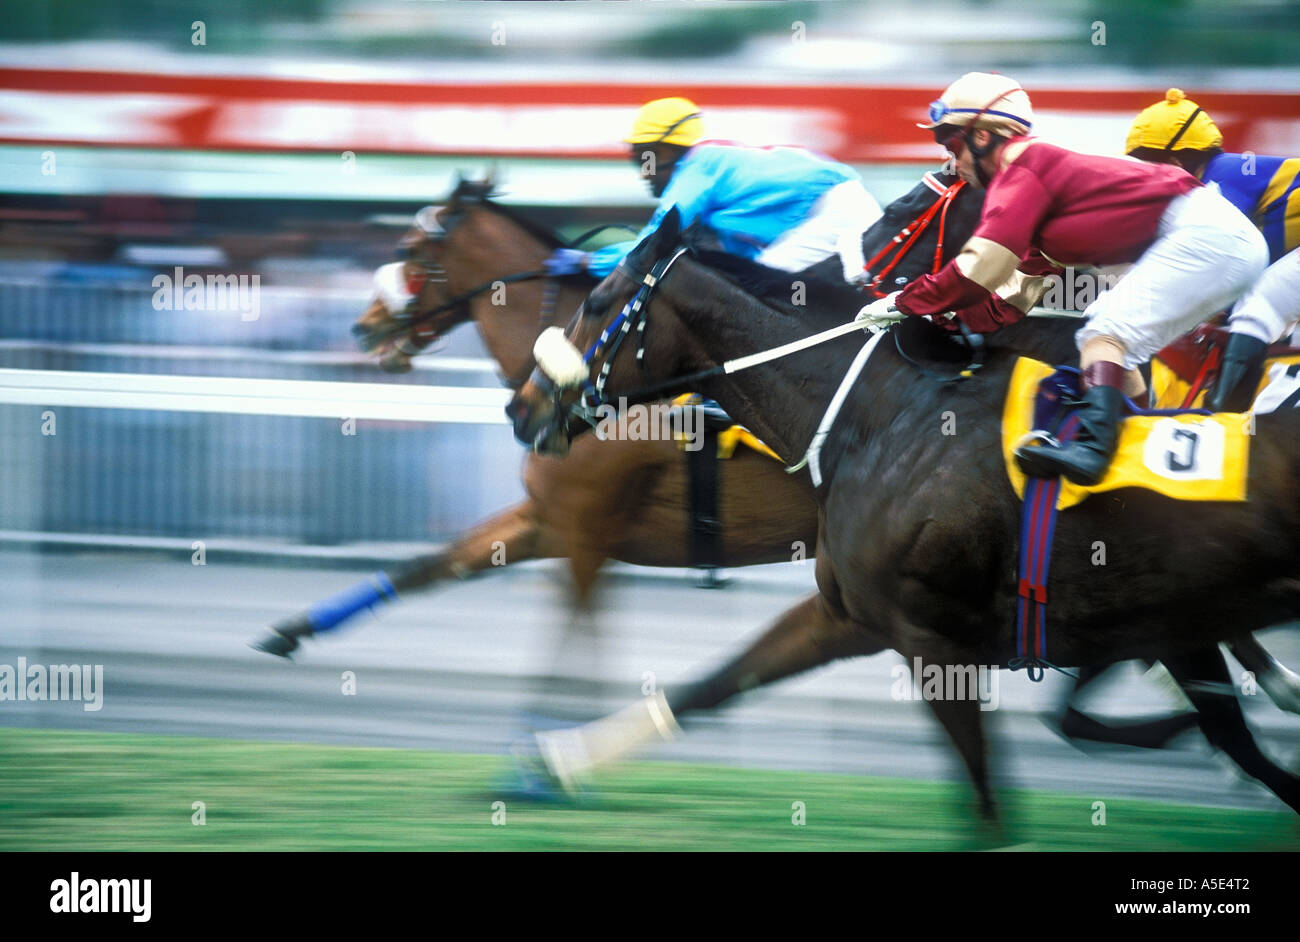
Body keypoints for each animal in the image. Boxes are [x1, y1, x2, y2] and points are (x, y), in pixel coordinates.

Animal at [506, 207, 1300, 822]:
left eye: (599, 300)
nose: (523, 405)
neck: (880, 414)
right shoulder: (855, 614)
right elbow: (717, 681)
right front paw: (558, 760)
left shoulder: (938, 640)